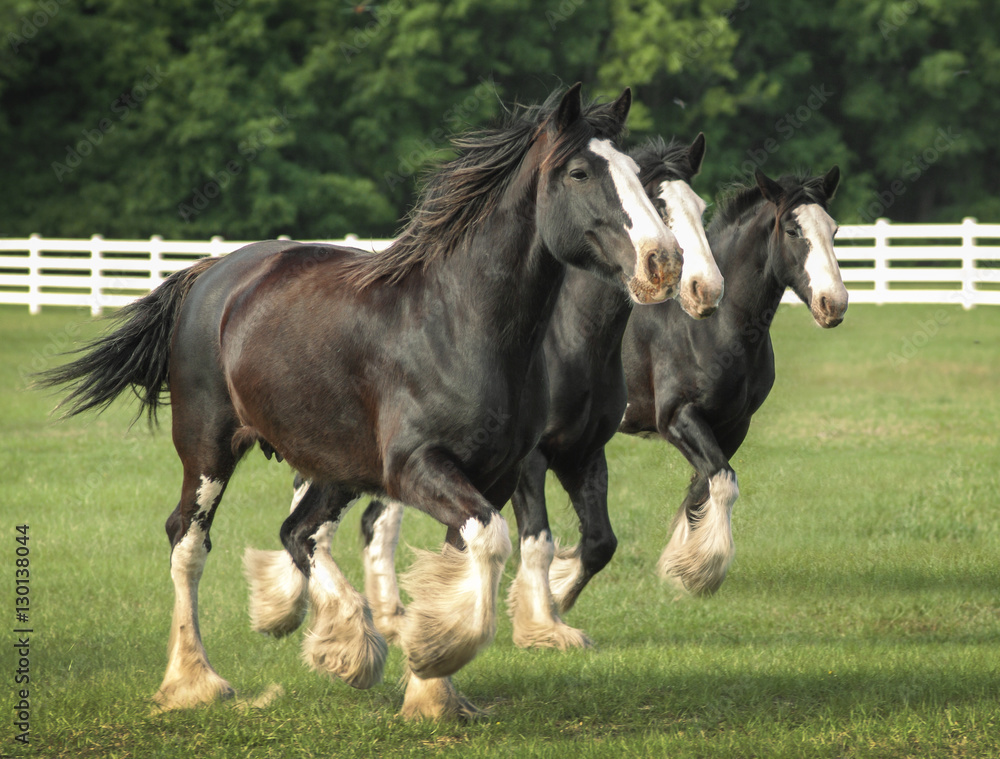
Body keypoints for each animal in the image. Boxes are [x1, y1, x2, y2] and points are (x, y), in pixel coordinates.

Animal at [37, 83, 683, 720]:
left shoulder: (493, 475)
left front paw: (433, 690)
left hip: (334, 464)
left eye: (634, 171)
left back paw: (339, 643)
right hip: (208, 449)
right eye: (579, 172)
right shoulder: (417, 468)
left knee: (298, 533)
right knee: (189, 542)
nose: (664, 262)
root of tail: (213, 272)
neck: (456, 322)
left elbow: (462, 561)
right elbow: (491, 543)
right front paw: (434, 656)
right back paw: (196, 680)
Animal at [355, 134, 725, 651]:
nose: (702, 288)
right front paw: (539, 624)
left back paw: (391, 616)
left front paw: (555, 598)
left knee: (378, 519)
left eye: (699, 207)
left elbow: (599, 542)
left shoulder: (585, 451)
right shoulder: (530, 459)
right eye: (656, 204)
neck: (571, 339)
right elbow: (538, 540)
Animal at [619, 166, 847, 597]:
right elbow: (722, 481)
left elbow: (702, 486)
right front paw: (701, 571)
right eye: (792, 230)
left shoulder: (733, 424)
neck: (713, 327)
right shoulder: (677, 418)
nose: (834, 303)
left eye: (834, 229)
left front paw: (677, 568)